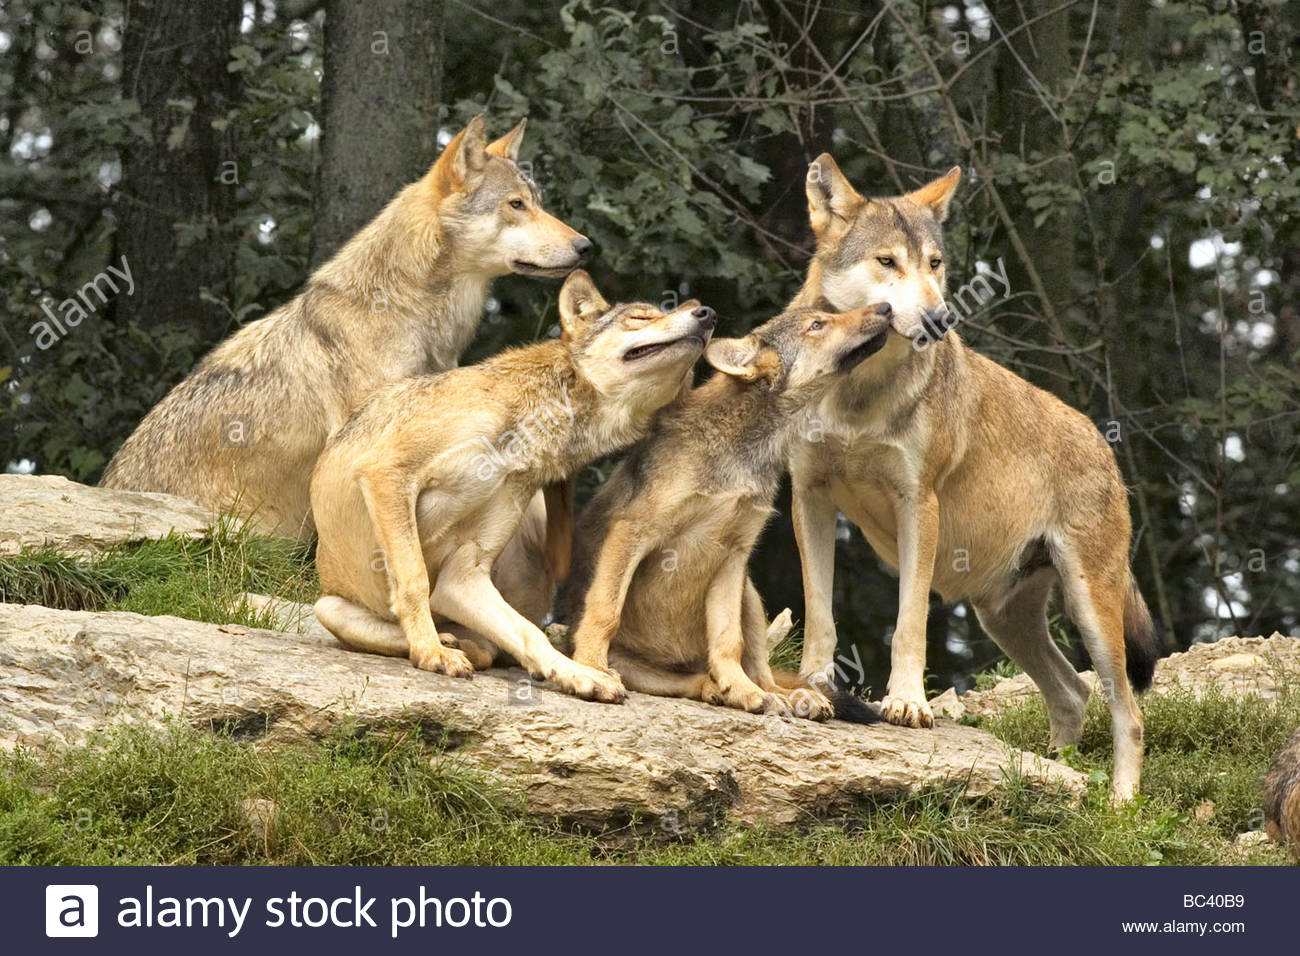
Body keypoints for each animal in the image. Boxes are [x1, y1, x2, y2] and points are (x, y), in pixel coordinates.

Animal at [310, 270, 715, 701]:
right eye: (640, 317)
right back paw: (446, 643)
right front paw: (431, 651)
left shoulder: (463, 575)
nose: (708, 314)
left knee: (494, 647)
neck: (531, 424)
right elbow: (414, 579)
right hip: (328, 607)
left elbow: (529, 632)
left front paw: (578, 674)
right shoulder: (386, 474)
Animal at [563, 303, 891, 722]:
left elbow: (727, 643)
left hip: (750, 595)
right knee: (692, 680)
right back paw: (718, 690)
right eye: (818, 325)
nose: (885, 307)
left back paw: (786, 697)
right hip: (647, 661)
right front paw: (590, 666)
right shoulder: (633, 531)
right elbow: (606, 610)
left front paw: (744, 690)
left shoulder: (734, 557)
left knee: (759, 672)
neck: (744, 452)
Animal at [786, 155, 1161, 799]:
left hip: (1090, 607)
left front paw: (907, 705)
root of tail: (1104, 444)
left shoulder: (919, 506)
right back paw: (1060, 776)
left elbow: (909, 622)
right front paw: (814, 692)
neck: (859, 393)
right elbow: (820, 614)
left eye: (935, 264)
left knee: (1127, 712)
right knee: (1072, 693)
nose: (939, 317)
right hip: (1003, 619)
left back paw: (1120, 805)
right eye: (887, 262)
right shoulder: (809, 499)